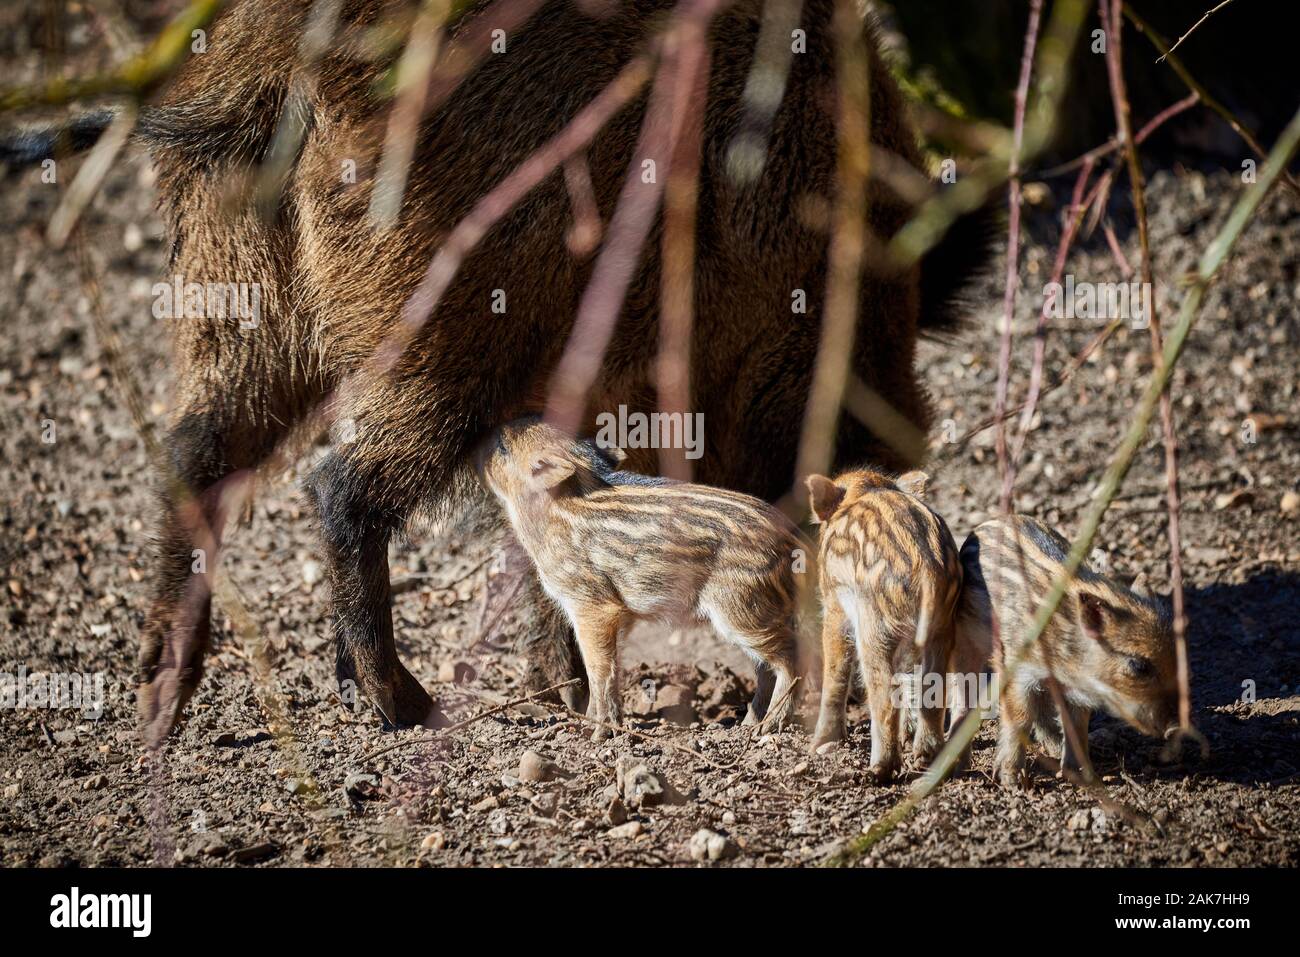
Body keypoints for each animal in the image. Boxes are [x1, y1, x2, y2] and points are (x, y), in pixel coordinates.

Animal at [479, 418, 808, 739]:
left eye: (503, 447)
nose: (486, 436)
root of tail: (794, 542)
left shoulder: (592, 605)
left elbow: (598, 670)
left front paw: (597, 735)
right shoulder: (618, 615)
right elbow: (609, 667)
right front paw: (590, 726)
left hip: (741, 609)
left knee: (792, 656)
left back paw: (770, 725)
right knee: (765, 668)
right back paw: (746, 726)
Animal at [805, 468, 963, 780]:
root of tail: (927, 568)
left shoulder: (834, 606)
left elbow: (836, 671)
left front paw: (818, 747)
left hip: (874, 627)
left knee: (883, 695)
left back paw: (877, 771)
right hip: (940, 628)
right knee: (932, 691)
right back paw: (925, 759)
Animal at [955, 515, 1179, 787]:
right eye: (1138, 665)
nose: (1175, 728)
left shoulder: (1078, 689)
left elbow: (1076, 724)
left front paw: (1085, 777)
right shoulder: (1019, 670)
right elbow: (1019, 718)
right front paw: (1012, 782)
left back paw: (1053, 747)